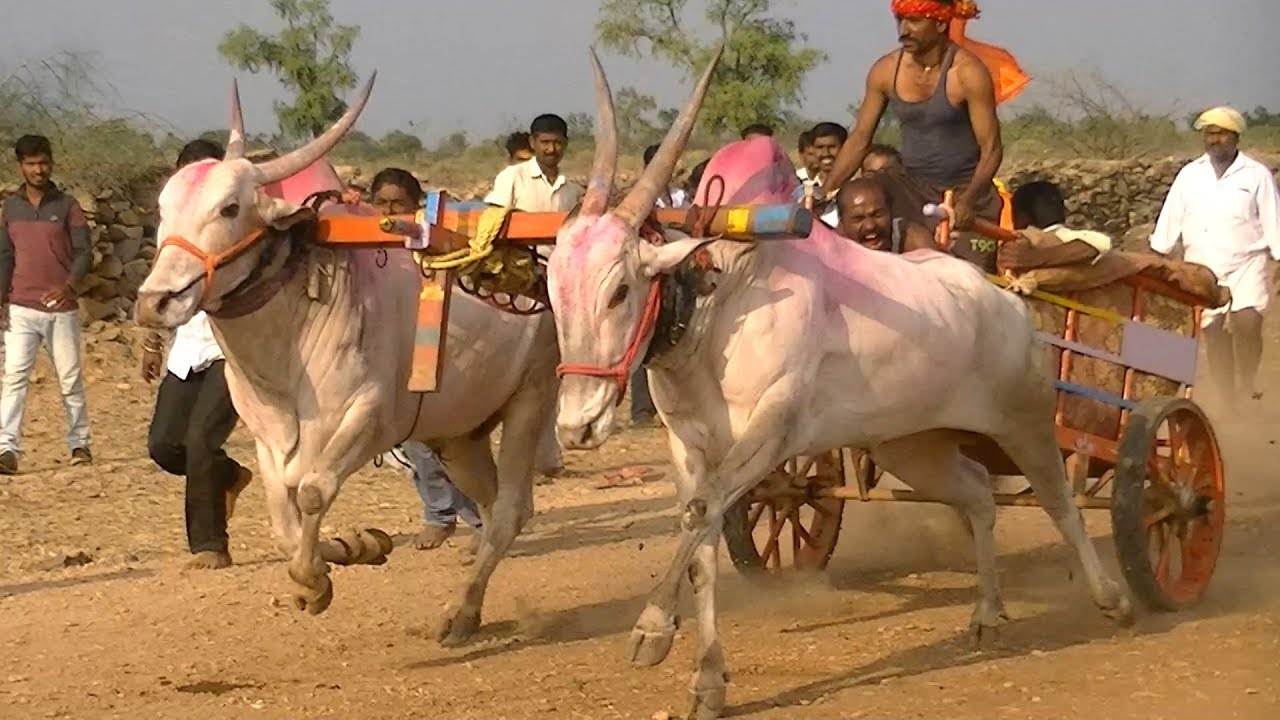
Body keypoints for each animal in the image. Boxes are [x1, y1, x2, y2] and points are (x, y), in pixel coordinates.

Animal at [133, 76, 560, 647]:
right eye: (162, 208)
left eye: (228, 208)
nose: (155, 301)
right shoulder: (268, 440)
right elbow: (283, 521)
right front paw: (353, 549)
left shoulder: (367, 421)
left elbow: (313, 495)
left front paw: (318, 580)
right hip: (459, 433)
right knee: (494, 509)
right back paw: (468, 604)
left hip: (531, 397)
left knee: (513, 509)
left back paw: (461, 611)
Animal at [546, 49, 1135, 719]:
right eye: (551, 284)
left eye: (620, 290)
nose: (577, 425)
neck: (718, 304)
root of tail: (1004, 298)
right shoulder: (688, 446)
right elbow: (702, 543)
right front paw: (707, 680)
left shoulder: (770, 436)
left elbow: (700, 516)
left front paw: (650, 629)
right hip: (909, 444)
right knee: (978, 495)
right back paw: (987, 611)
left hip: (1027, 421)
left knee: (1061, 501)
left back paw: (1113, 597)